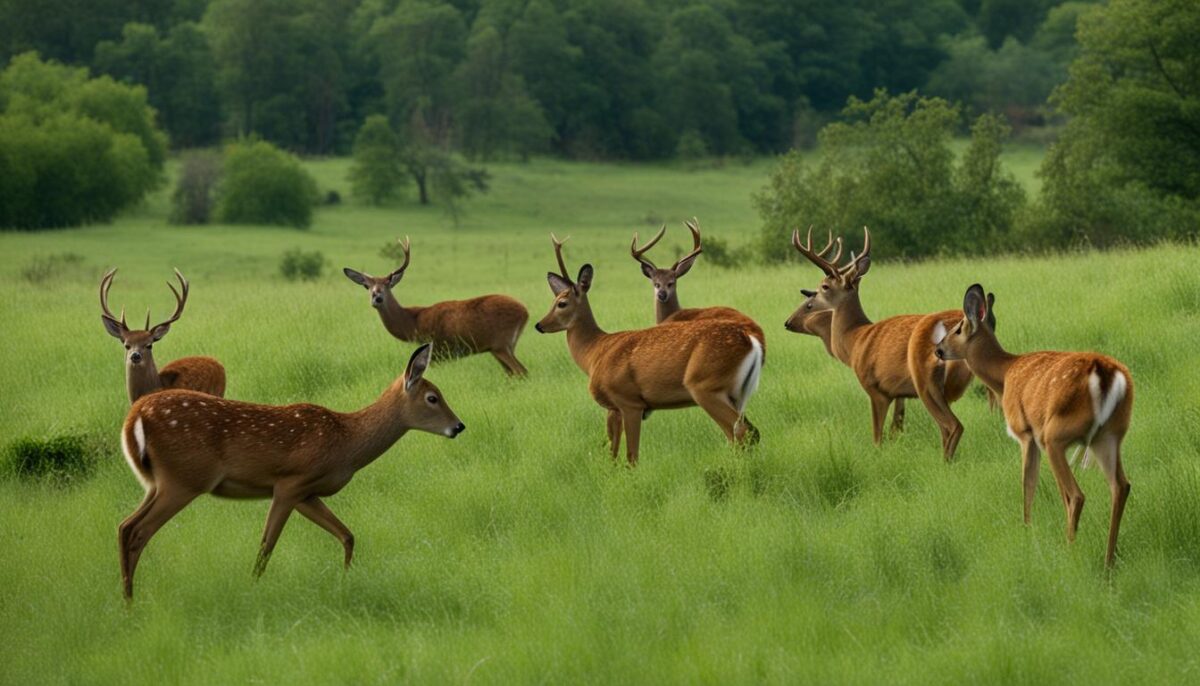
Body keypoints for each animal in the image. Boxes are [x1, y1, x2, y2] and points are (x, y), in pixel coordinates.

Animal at [116, 343, 464, 599]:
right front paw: (254, 588)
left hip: (155, 483)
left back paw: (126, 599)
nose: (458, 426)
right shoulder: (289, 484)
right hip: (184, 479)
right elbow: (266, 547)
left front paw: (345, 579)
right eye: (433, 398)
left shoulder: (307, 493)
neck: (346, 443)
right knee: (139, 531)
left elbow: (347, 535)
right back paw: (131, 600)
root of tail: (135, 417)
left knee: (124, 526)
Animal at [343, 237, 529, 376]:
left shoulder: (437, 350)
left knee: (521, 371)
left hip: (501, 343)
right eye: (367, 286)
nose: (377, 297)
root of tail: (525, 312)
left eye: (388, 284)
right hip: (500, 346)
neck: (414, 322)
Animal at [534, 234, 764, 465]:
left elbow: (632, 456)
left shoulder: (629, 401)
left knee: (739, 432)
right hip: (736, 394)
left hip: (705, 386)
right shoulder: (614, 408)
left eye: (562, 303)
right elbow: (613, 453)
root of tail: (752, 339)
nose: (539, 325)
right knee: (751, 432)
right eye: (553, 300)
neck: (594, 353)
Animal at [791, 227, 995, 460]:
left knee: (952, 426)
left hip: (926, 381)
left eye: (824, 286)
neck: (855, 340)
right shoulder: (900, 393)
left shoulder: (875, 387)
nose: (789, 321)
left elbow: (878, 436)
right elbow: (896, 429)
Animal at [934, 285, 1132, 566]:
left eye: (958, 329)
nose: (937, 349)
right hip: (1110, 435)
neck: (1005, 373)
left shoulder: (1025, 433)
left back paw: (1070, 550)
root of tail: (1104, 375)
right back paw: (1109, 561)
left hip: (1056, 435)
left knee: (1076, 495)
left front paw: (1026, 530)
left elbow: (1027, 484)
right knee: (1120, 487)